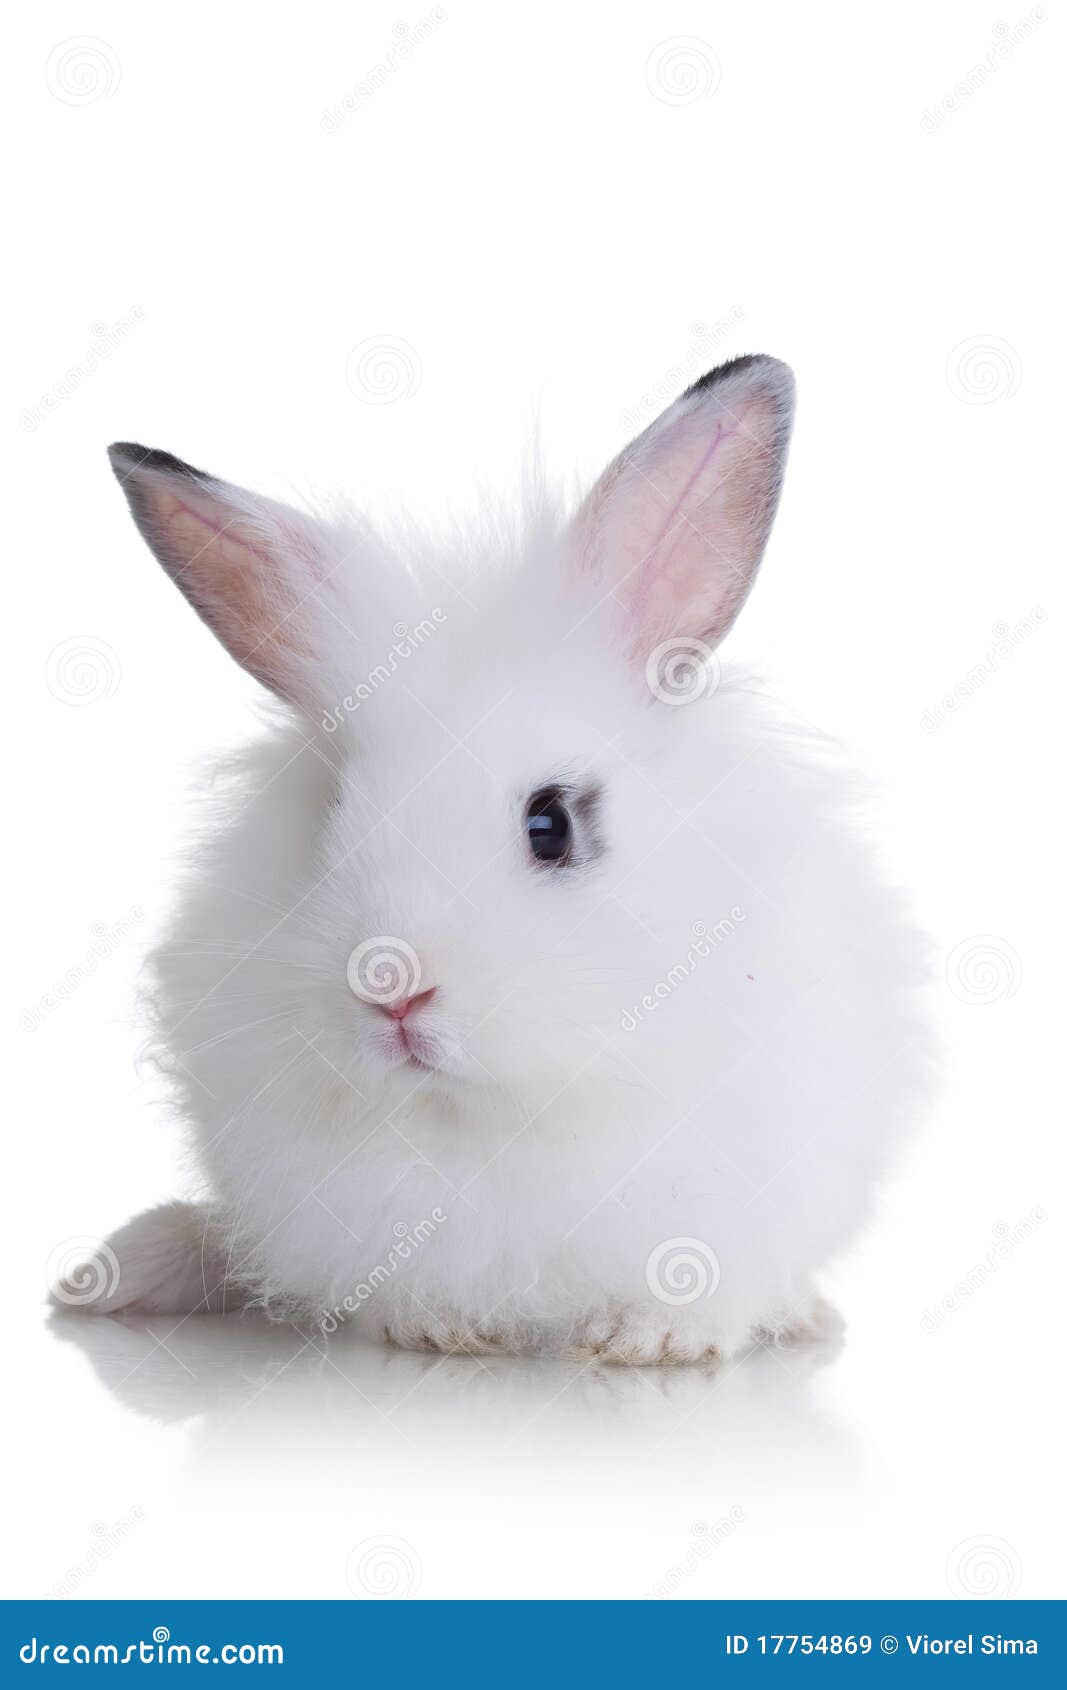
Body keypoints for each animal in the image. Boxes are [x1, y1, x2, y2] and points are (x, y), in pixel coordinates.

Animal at [55, 354, 930, 1364]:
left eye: (551, 824)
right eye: (332, 812)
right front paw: (437, 1330)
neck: (497, 1113)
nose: (392, 988)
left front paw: (651, 1342)